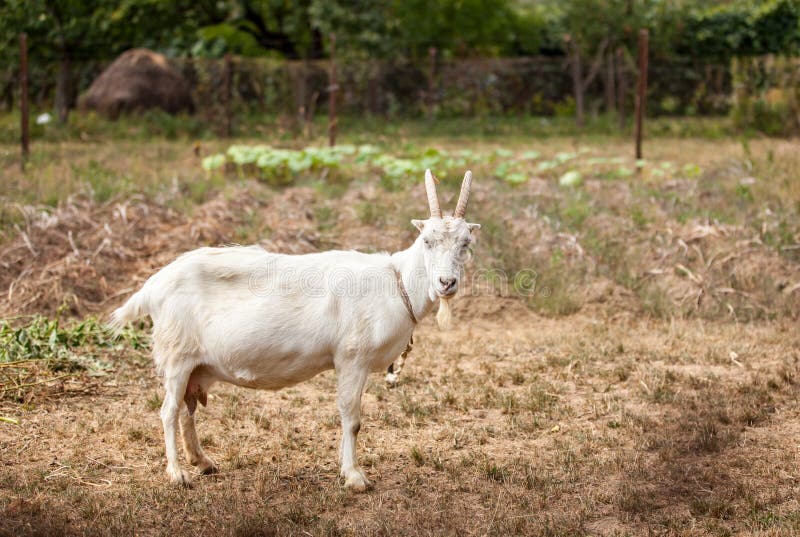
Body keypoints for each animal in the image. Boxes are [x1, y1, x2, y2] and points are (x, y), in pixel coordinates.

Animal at [112, 169, 480, 490]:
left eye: (465, 243)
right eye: (427, 240)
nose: (446, 283)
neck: (396, 281)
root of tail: (154, 285)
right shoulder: (352, 358)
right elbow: (352, 418)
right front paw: (355, 477)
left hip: (196, 365)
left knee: (187, 408)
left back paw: (202, 462)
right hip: (176, 355)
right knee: (168, 411)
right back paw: (177, 474)